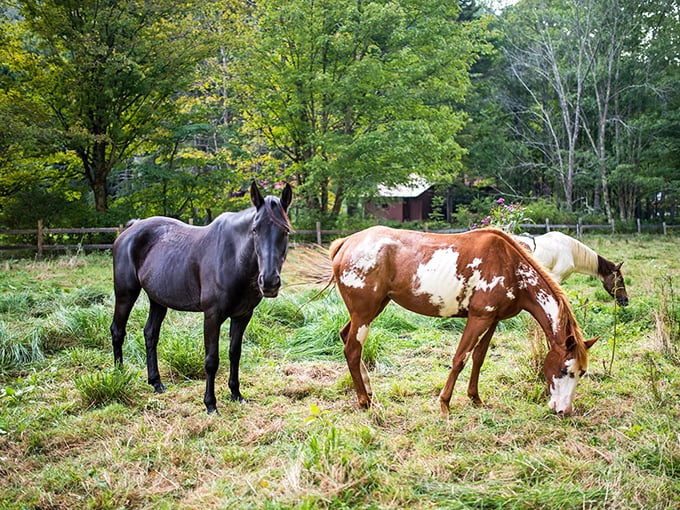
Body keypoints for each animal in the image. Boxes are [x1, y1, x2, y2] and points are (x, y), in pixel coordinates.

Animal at [110, 181, 293, 413]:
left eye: (285, 231)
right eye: (255, 230)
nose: (269, 282)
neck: (234, 259)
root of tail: (131, 228)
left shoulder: (243, 316)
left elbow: (235, 353)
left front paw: (236, 394)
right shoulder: (212, 316)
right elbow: (211, 360)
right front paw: (210, 404)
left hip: (158, 300)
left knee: (150, 334)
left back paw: (156, 382)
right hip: (125, 293)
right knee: (118, 331)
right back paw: (119, 376)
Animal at [327, 226, 598, 416]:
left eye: (582, 372)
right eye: (564, 370)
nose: (564, 411)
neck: (512, 268)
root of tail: (345, 243)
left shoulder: (492, 319)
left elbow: (478, 358)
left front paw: (475, 398)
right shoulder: (478, 318)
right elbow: (460, 359)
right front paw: (444, 404)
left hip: (372, 309)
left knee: (347, 338)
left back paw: (369, 393)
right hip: (364, 314)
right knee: (352, 350)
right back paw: (365, 402)